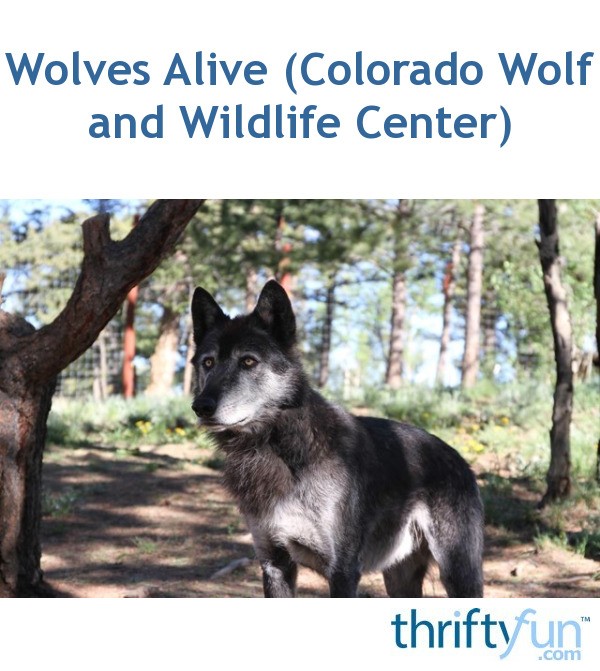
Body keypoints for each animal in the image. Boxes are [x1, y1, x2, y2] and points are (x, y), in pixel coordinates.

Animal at [191, 280, 484, 598]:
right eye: (208, 362)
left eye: (247, 361)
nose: (200, 406)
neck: (279, 447)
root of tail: (459, 459)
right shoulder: (274, 563)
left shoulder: (343, 571)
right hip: (398, 579)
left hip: (458, 573)